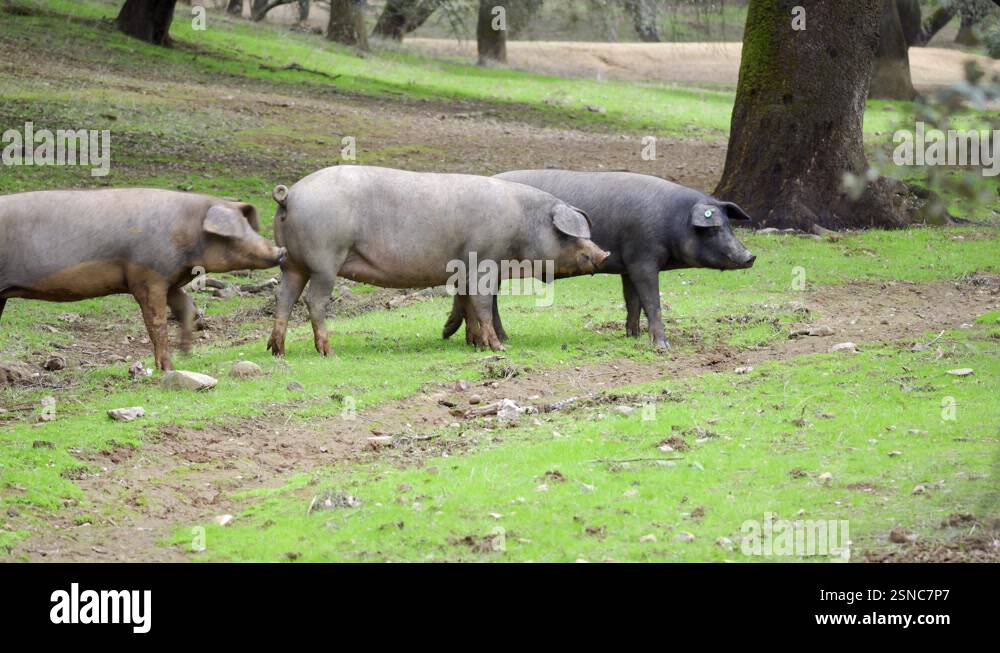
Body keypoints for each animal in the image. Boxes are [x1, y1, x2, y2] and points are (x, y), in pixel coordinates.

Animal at [0, 189, 286, 371]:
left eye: (249, 227)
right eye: (238, 233)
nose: (281, 251)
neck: (186, 233)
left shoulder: (170, 279)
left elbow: (187, 309)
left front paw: (187, 353)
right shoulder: (148, 276)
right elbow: (156, 322)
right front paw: (167, 368)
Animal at [265, 165, 610, 355]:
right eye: (567, 234)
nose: (603, 254)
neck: (522, 224)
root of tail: (289, 195)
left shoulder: (465, 268)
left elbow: (468, 304)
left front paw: (474, 344)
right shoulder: (484, 260)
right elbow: (482, 304)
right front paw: (499, 347)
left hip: (291, 262)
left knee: (284, 298)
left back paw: (277, 351)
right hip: (325, 259)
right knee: (314, 301)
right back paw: (328, 352)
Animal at [443, 171, 755, 350]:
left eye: (730, 225)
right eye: (713, 228)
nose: (750, 256)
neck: (673, 223)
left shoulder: (629, 264)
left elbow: (633, 301)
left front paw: (633, 336)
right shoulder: (643, 258)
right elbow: (652, 301)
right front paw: (662, 346)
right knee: (487, 297)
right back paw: (502, 339)